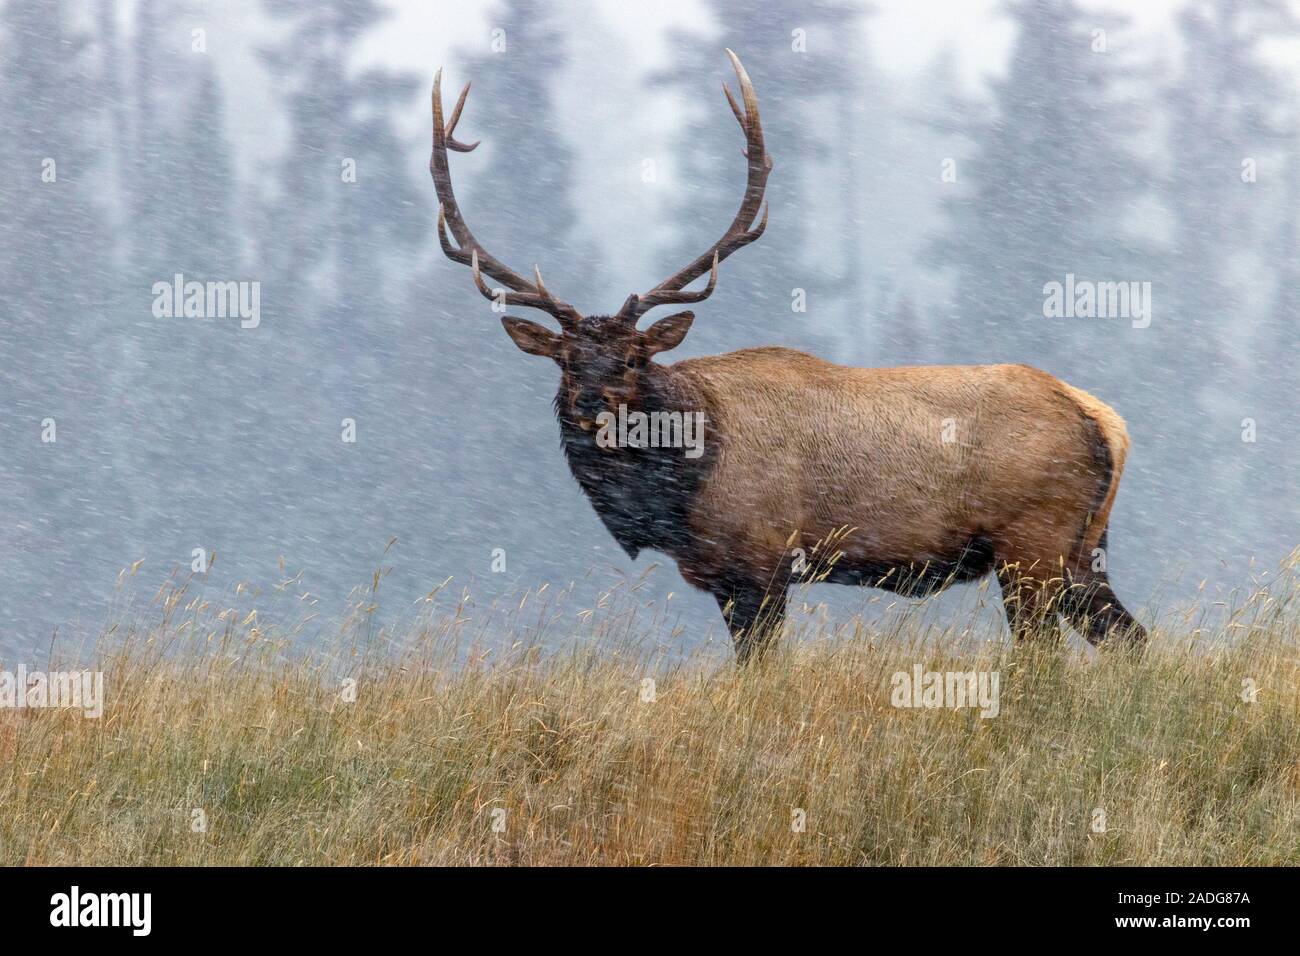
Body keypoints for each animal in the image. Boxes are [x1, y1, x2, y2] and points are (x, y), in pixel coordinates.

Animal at [429, 50, 1147, 663]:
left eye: (633, 358)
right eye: (566, 360)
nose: (591, 402)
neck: (684, 483)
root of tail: (1105, 421)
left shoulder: (761, 561)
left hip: (1032, 543)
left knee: (1045, 657)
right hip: (1082, 551)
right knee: (1133, 642)